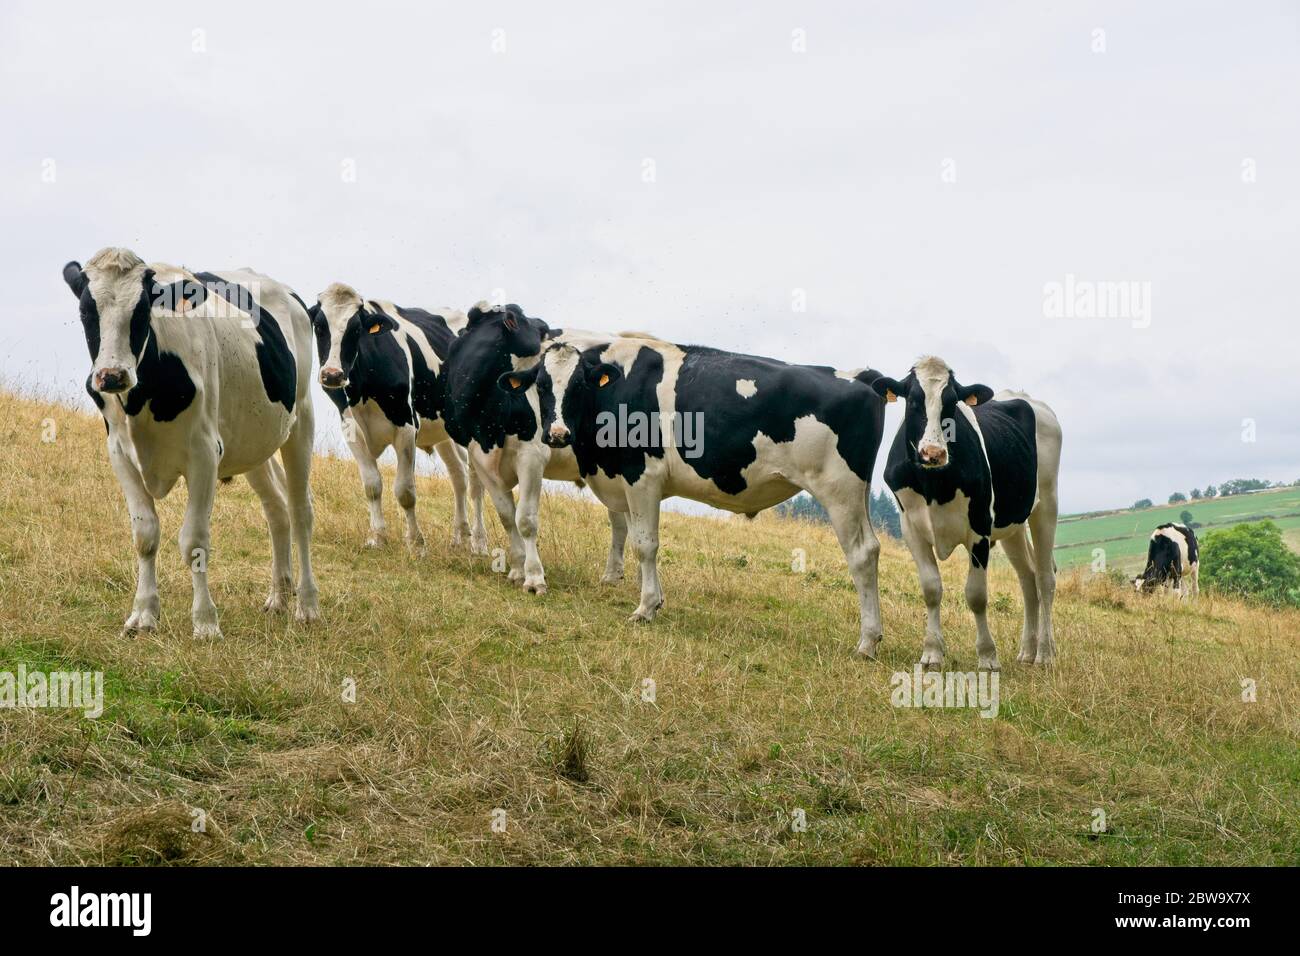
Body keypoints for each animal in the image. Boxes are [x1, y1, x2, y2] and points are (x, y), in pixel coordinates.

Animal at [61, 247, 320, 638]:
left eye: (142, 311)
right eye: (86, 311)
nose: (112, 376)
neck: (143, 398)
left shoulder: (204, 454)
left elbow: (195, 541)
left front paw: (205, 621)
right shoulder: (120, 454)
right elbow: (145, 535)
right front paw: (143, 615)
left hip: (301, 420)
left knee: (300, 510)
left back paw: (306, 604)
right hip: (252, 441)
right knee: (276, 509)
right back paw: (278, 597)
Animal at [309, 283, 486, 554]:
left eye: (356, 329)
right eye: (319, 326)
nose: (332, 375)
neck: (363, 390)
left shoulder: (406, 426)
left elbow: (405, 491)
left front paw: (416, 543)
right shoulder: (351, 429)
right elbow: (372, 485)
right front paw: (377, 537)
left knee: (476, 483)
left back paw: (479, 542)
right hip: (443, 432)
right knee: (459, 477)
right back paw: (460, 537)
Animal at [441, 303, 628, 594]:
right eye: (535, 325)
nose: (545, 326)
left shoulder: (531, 458)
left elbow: (526, 519)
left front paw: (534, 577)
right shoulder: (482, 461)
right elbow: (507, 516)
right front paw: (517, 569)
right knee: (619, 517)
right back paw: (612, 575)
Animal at [516, 334, 889, 656]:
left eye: (578, 385)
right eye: (542, 385)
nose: (557, 434)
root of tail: (860, 378)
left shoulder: (643, 475)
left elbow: (646, 545)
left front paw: (645, 608)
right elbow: (637, 539)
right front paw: (655, 600)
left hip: (839, 489)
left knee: (862, 554)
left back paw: (867, 642)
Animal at [870, 356, 1062, 669]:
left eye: (951, 402)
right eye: (913, 400)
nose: (933, 453)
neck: (935, 486)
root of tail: (1021, 396)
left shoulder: (980, 528)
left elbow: (976, 595)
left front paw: (987, 656)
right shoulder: (910, 528)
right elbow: (931, 589)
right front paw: (932, 653)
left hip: (1046, 503)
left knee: (1045, 578)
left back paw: (1044, 654)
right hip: (1012, 523)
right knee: (1028, 577)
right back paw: (1026, 651)